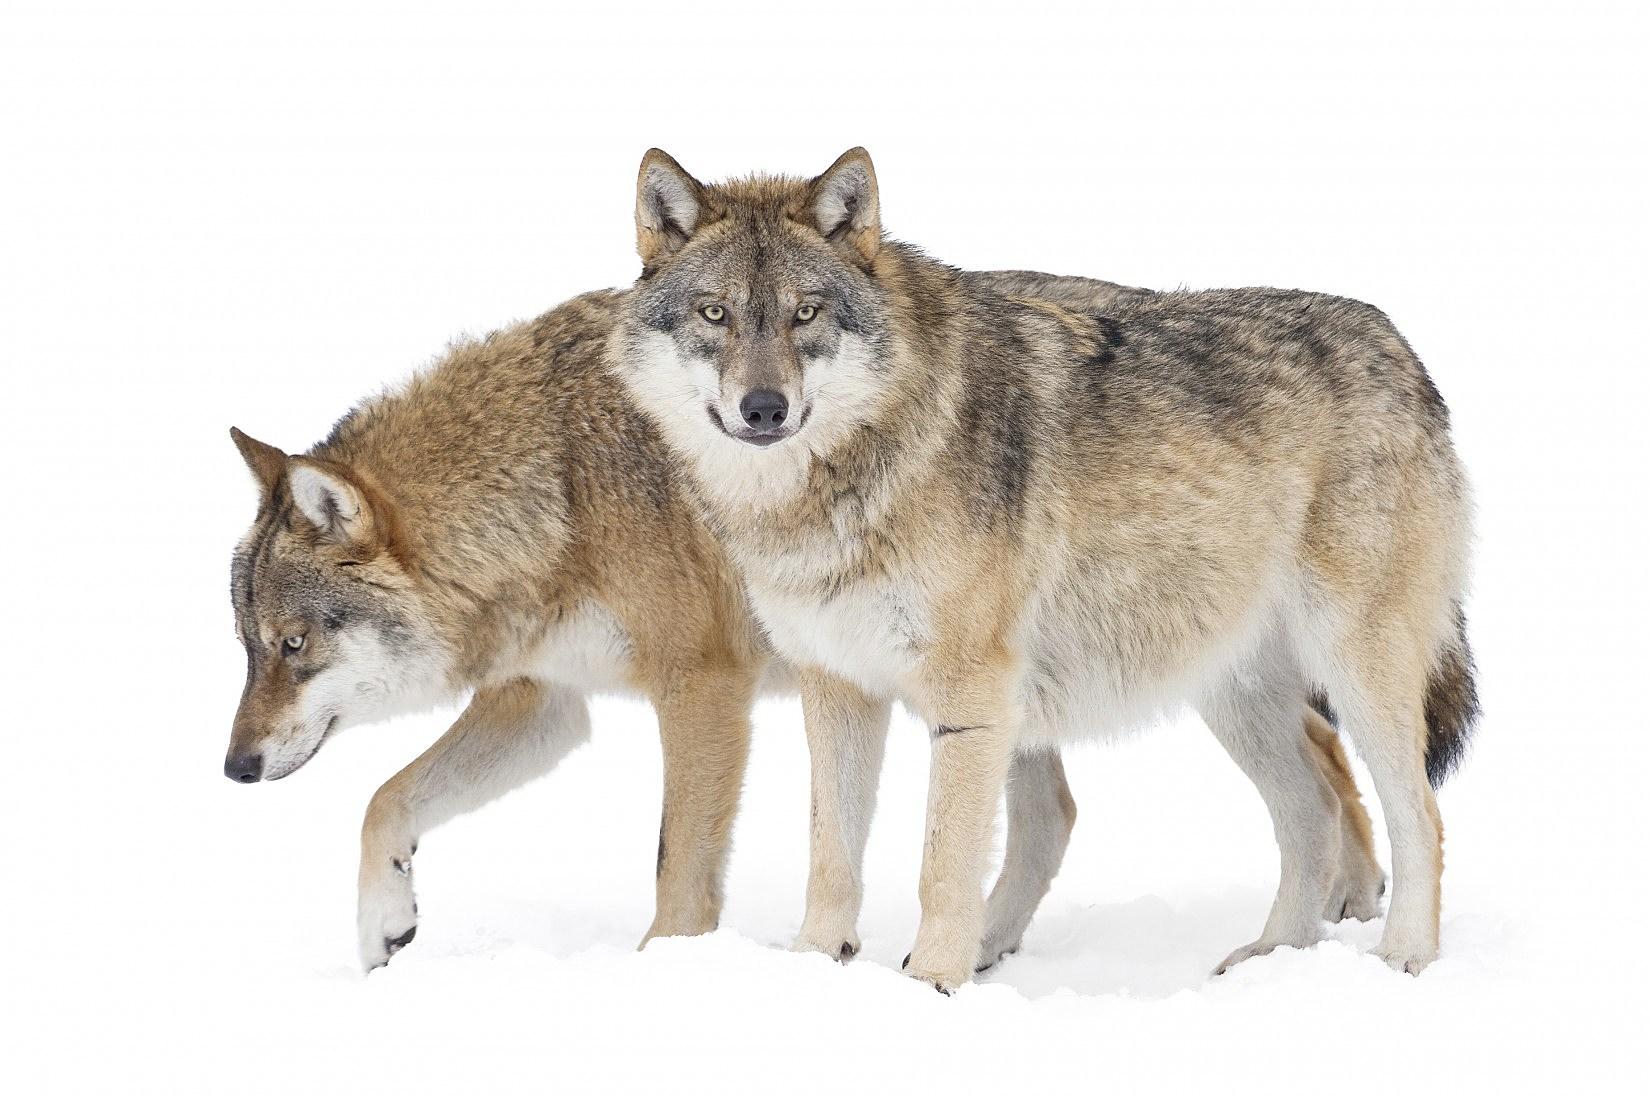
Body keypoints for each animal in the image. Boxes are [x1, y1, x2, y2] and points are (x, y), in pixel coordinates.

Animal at [616, 147, 1476, 988]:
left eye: (806, 313)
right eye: (715, 313)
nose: (764, 408)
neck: (839, 486)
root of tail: (1401, 346)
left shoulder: (969, 690)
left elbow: (942, 868)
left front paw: (931, 983)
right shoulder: (837, 685)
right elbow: (832, 855)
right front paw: (813, 967)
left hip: (1355, 669)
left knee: (1421, 815)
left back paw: (1404, 956)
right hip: (1230, 694)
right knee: (1311, 812)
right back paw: (1268, 959)